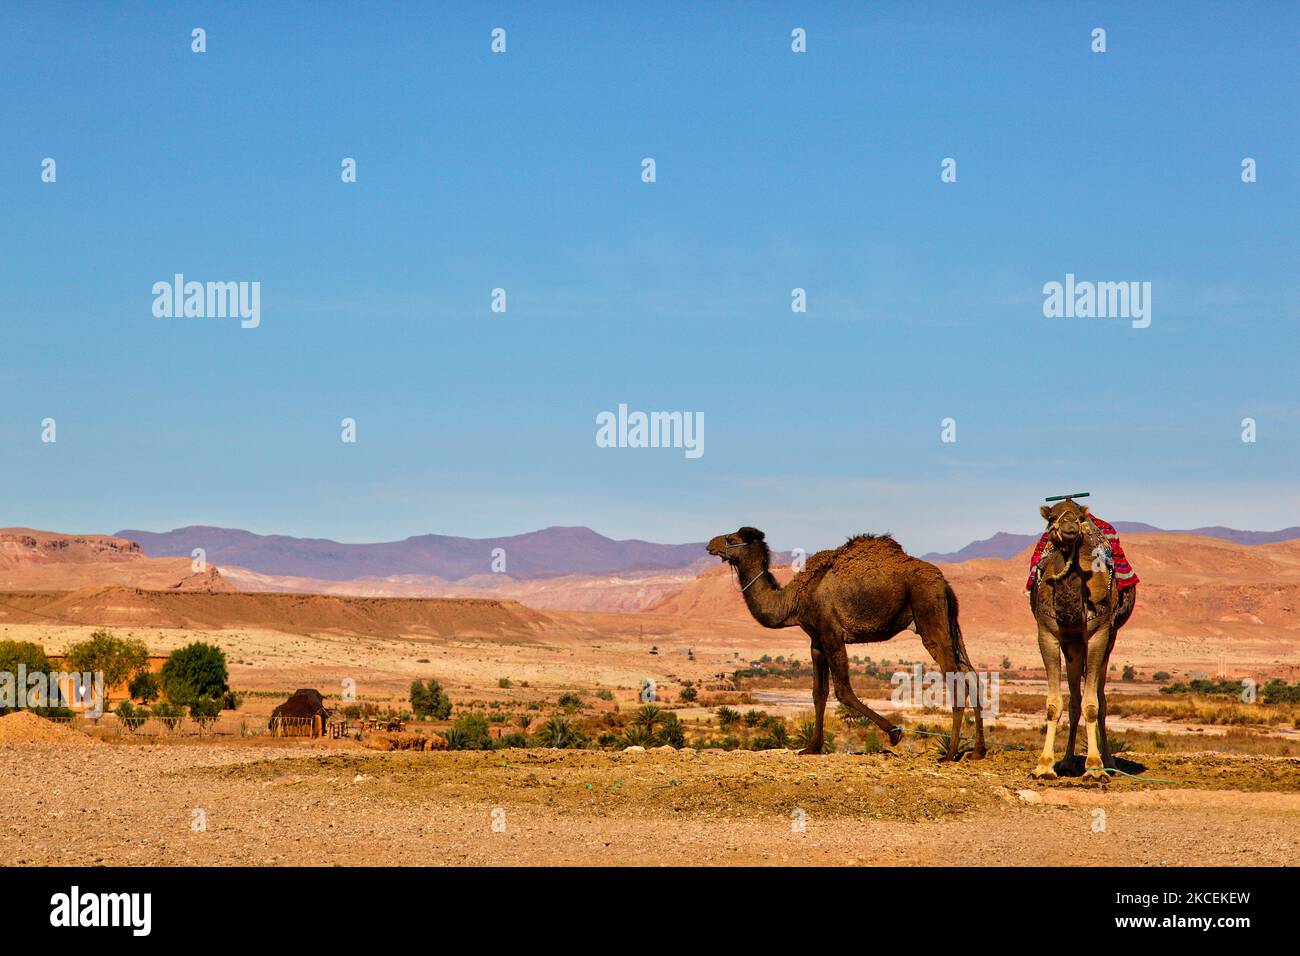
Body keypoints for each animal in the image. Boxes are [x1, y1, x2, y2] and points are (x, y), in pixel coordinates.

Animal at [706, 527, 985, 760]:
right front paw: (811, 747)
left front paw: (894, 733)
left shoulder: (832, 633)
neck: (794, 599)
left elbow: (843, 691)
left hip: (928, 612)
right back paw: (977, 752)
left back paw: (949, 754)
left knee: (954, 674)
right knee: (970, 672)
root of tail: (944, 583)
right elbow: (819, 693)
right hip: (949, 619)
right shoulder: (816, 640)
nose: (710, 544)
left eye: (731, 538)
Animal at [1028, 501, 1137, 780]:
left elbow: (1092, 705)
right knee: (1074, 701)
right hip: (1074, 645)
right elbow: (1054, 704)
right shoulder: (1047, 635)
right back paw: (1067, 762)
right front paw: (1044, 766)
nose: (1069, 529)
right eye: (1052, 518)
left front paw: (1095, 768)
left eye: (1078, 517)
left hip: (1109, 639)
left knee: (1101, 699)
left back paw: (1109, 762)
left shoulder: (1099, 635)